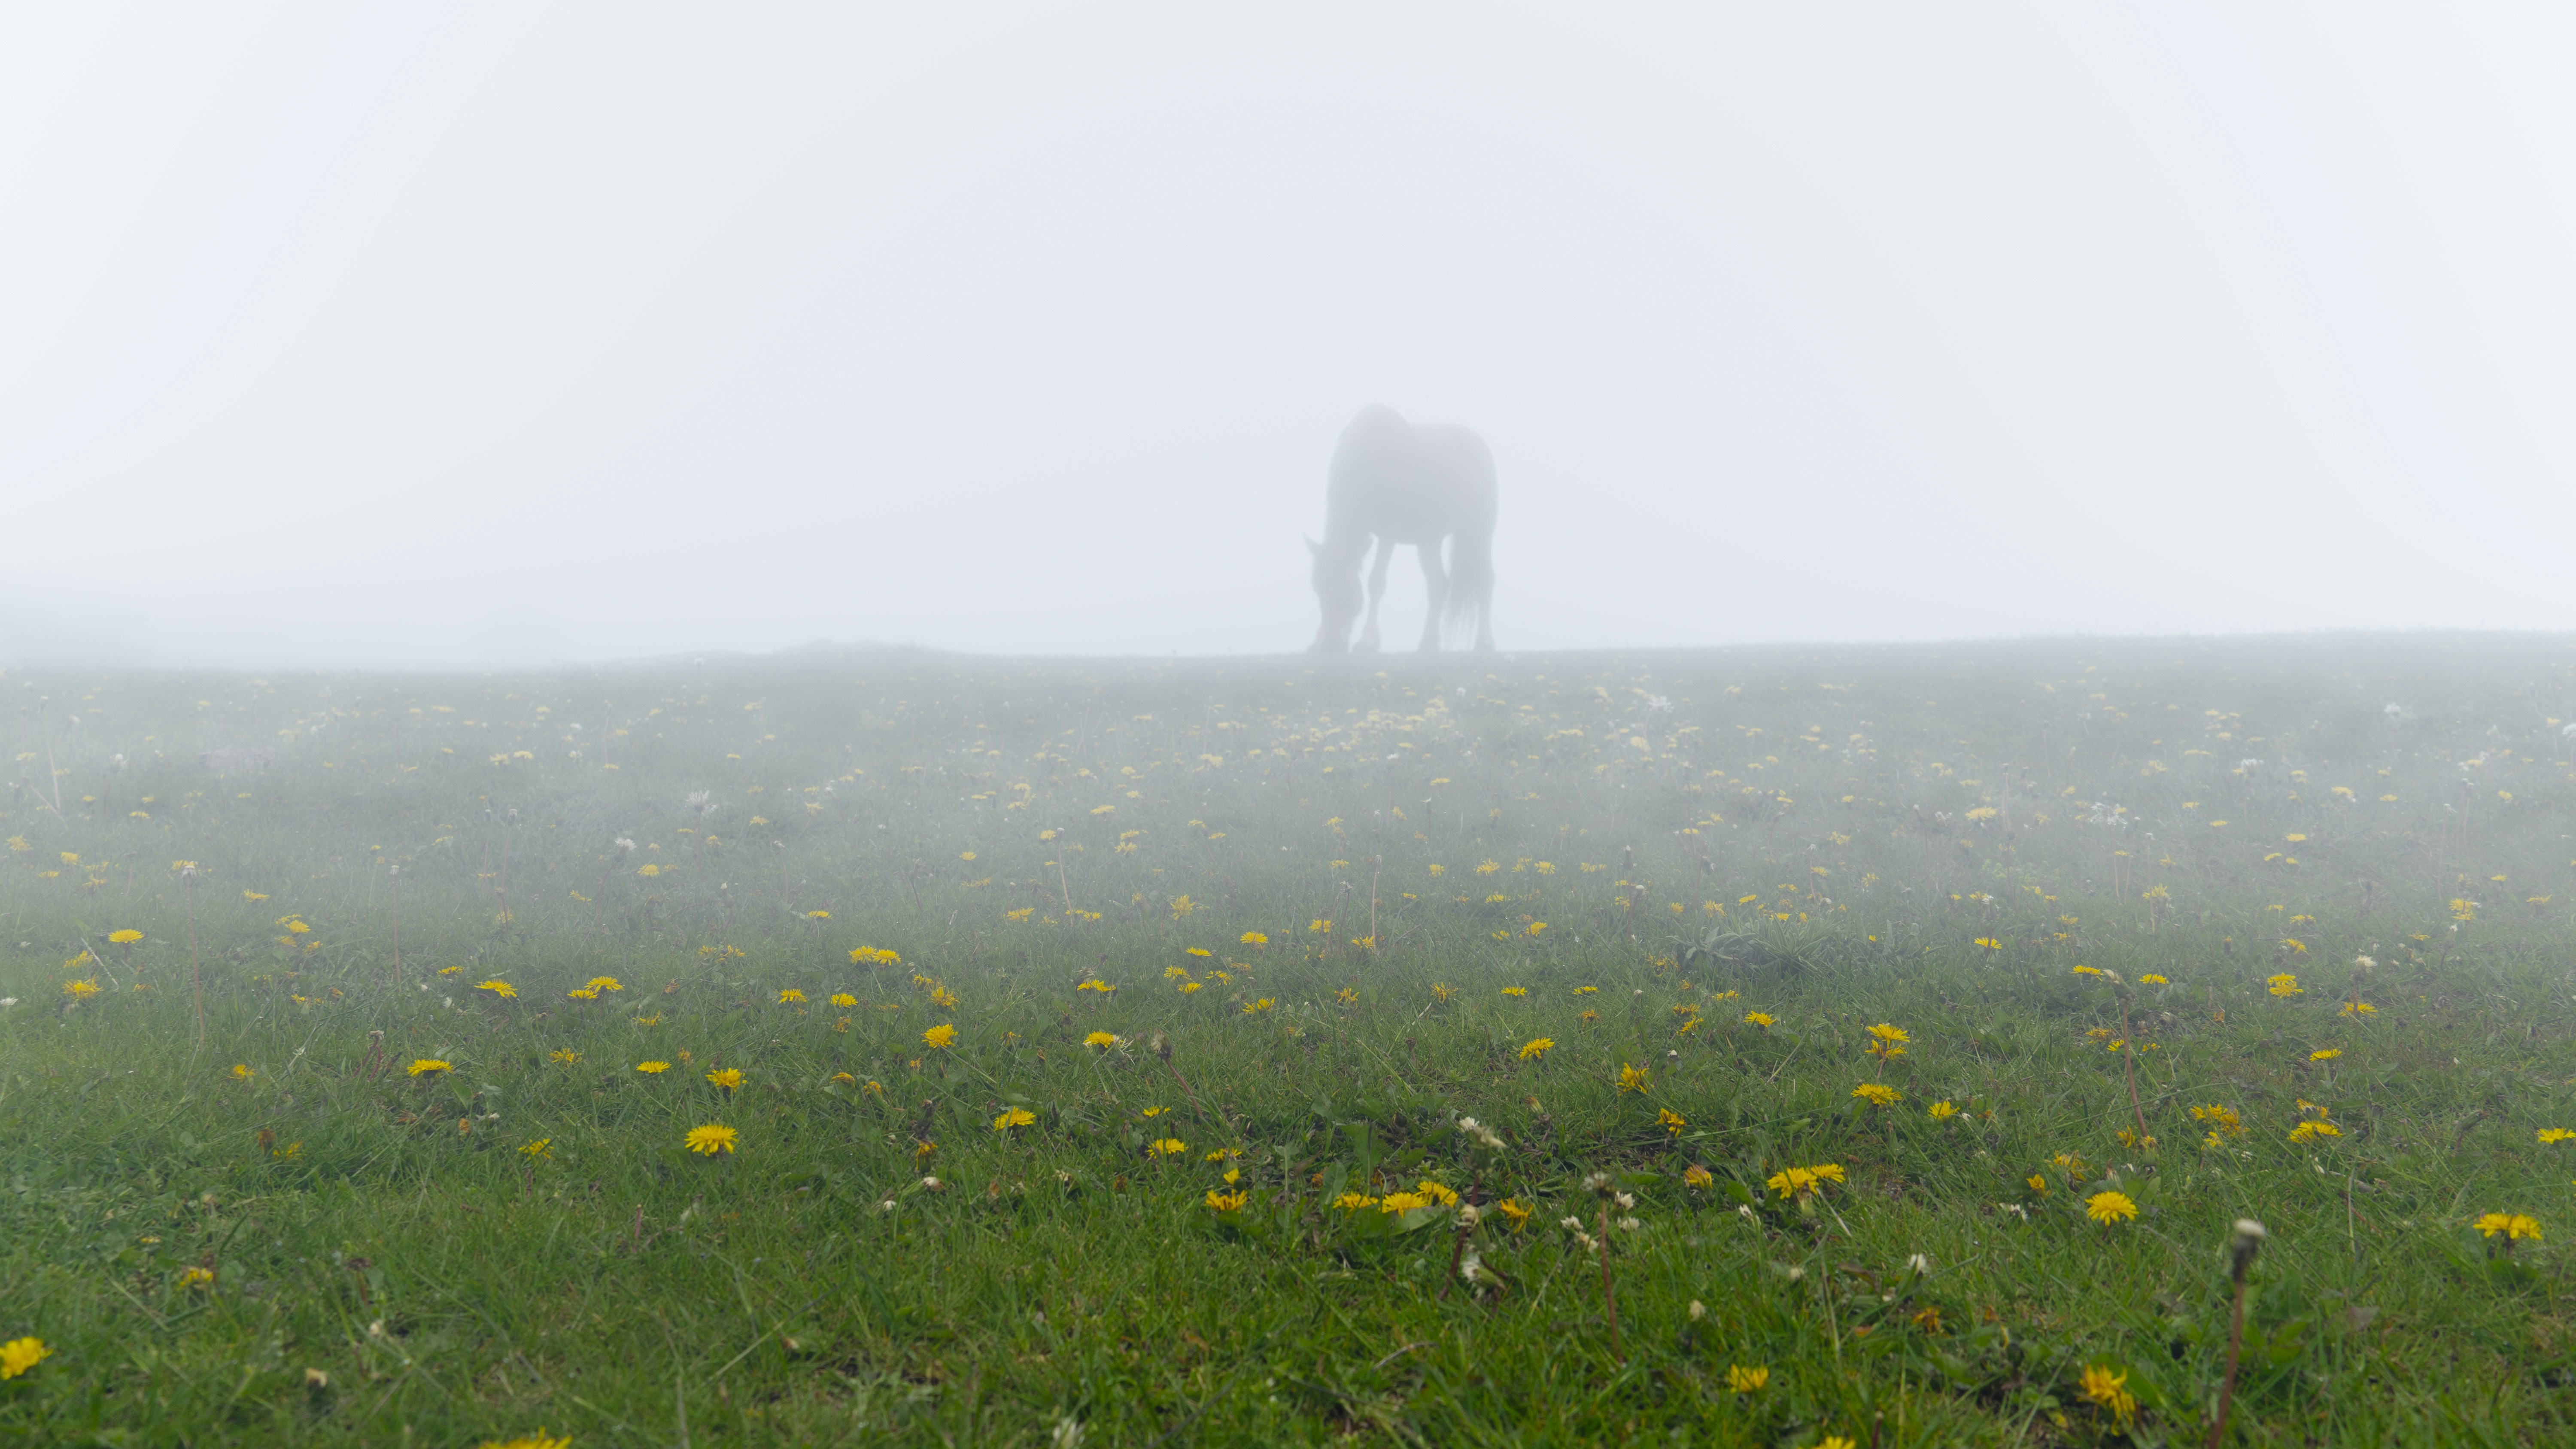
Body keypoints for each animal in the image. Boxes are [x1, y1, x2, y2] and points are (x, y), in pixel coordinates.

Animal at [1307, 405, 1497, 653]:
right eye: (1318, 590)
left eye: (1348, 590)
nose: (1331, 645)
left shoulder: (1389, 534)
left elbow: (1377, 582)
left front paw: (1367, 641)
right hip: (1429, 540)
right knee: (1438, 585)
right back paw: (1427, 643)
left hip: (1480, 531)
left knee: (1486, 580)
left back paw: (1485, 642)